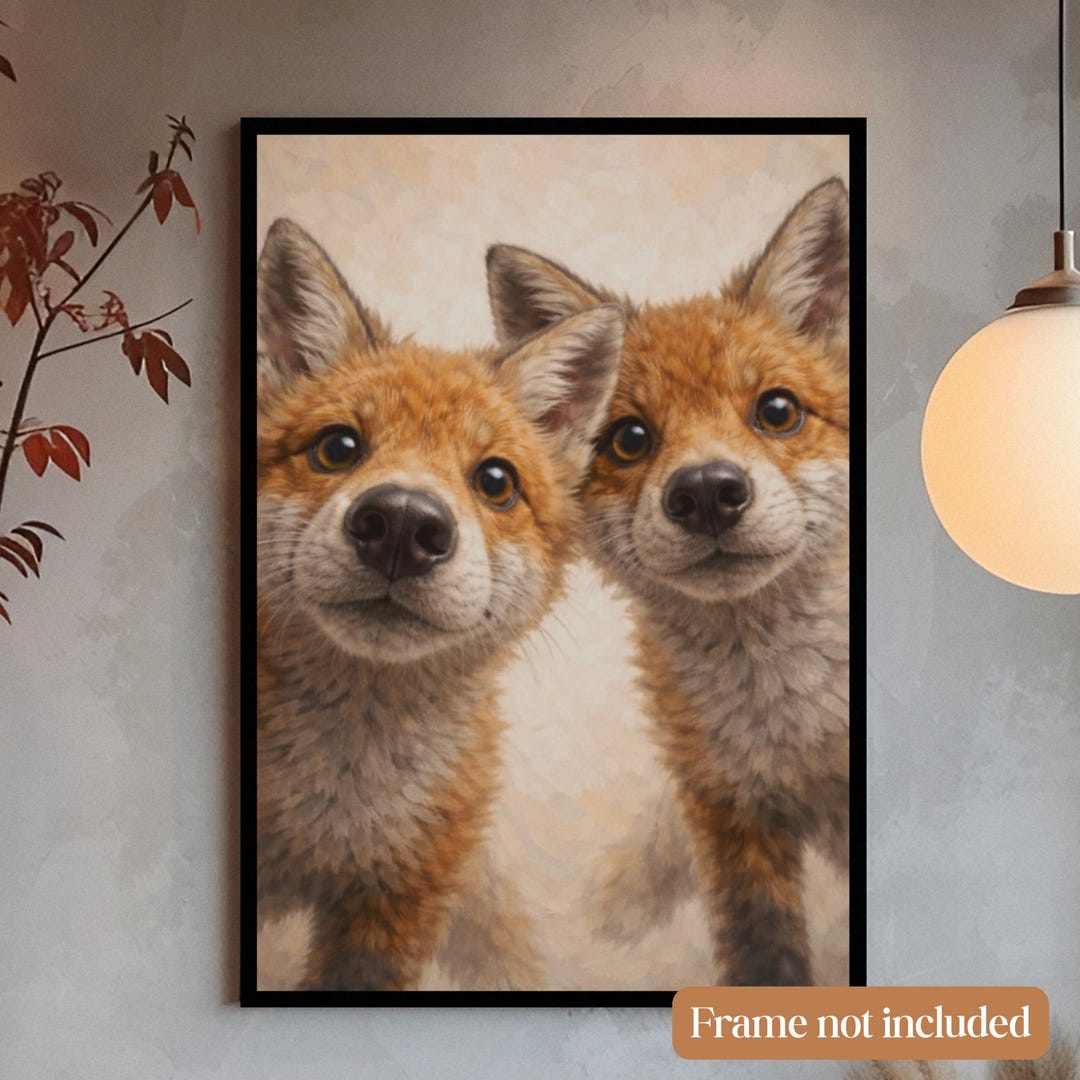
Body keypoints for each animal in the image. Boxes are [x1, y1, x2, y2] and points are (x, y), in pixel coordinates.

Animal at [485, 178, 851, 985]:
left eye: (777, 410)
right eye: (630, 439)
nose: (708, 492)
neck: (789, 724)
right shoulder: (729, 814)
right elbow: (764, 960)